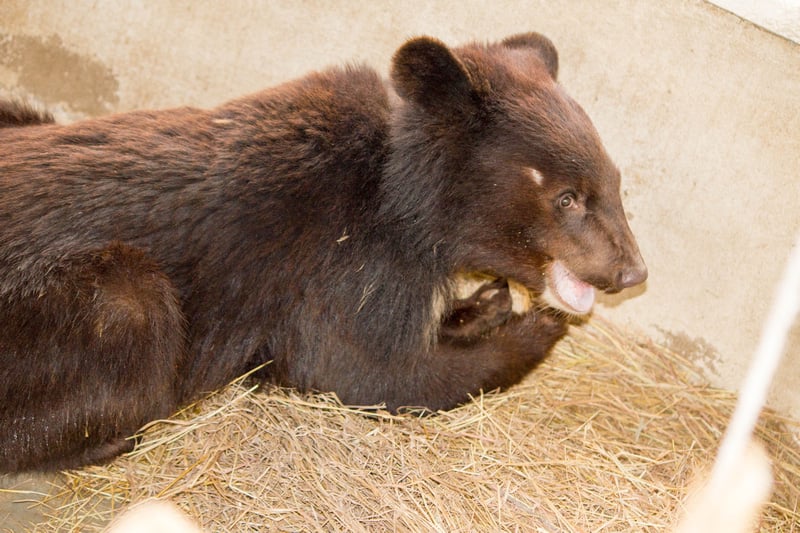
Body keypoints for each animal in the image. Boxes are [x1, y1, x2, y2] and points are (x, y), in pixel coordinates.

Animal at [0, 32, 646, 473]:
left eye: (616, 185)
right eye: (567, 197)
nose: (633, 271)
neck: (403, 201)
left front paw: (482, 306)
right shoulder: (334, 264)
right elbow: (366, 372)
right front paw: (536, 326)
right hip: (102, 302)